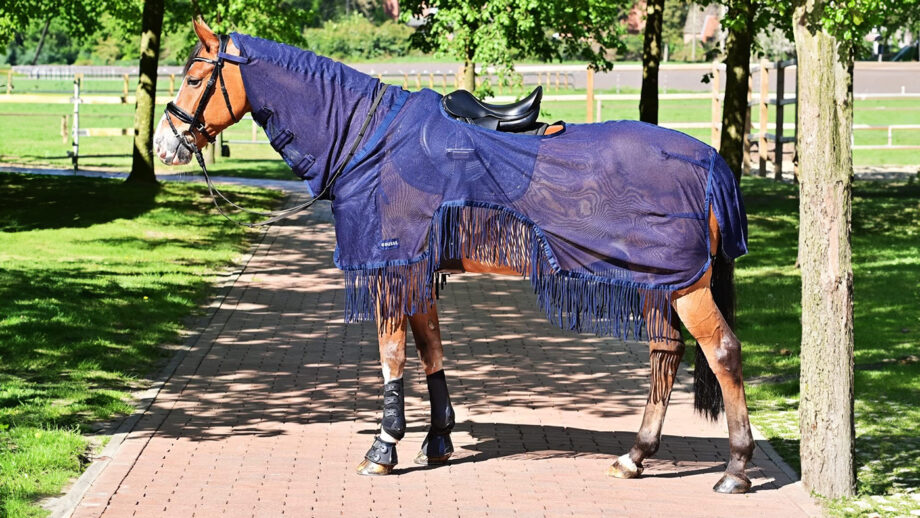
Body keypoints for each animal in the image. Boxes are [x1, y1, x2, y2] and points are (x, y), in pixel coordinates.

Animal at [154, 18, 755, 494]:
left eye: (193, 77)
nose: (166, 143)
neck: (373, 141)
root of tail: (707, 160)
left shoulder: (392, 266)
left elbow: (392, 354)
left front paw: (384, 446)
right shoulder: (417, 268)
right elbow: (430, 350)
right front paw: (437, 437)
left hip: (685, 284)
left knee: (722, 352)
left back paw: (736, 469)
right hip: (662, 282)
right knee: (665, 354)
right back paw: (635, 456)